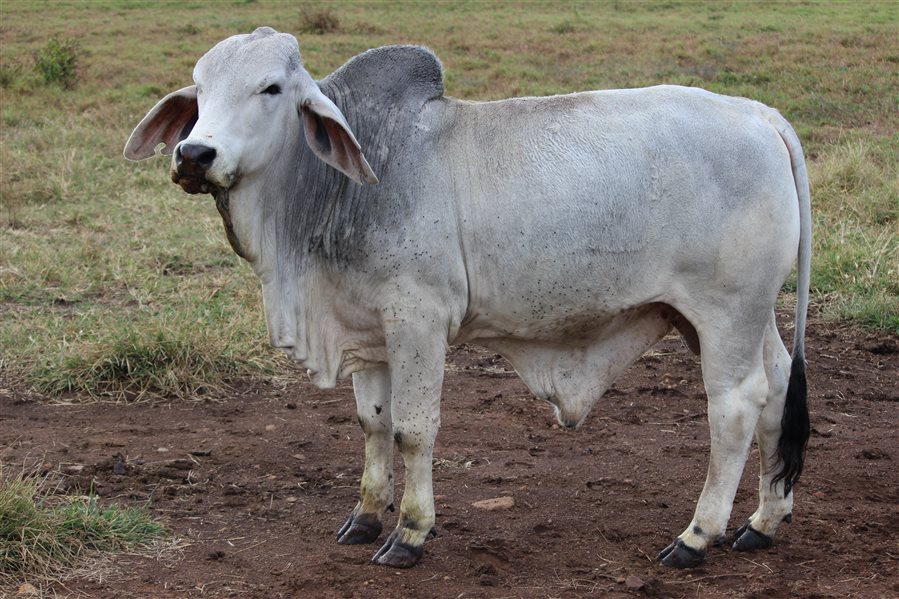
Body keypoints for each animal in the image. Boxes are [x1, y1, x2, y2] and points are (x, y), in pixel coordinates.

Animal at [124, 27, 811, 569]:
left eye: (270, 89)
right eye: (198, 89)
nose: (194, 153)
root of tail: (758, 115)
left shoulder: (418, 320)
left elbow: (412, 430)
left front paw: (410, 533)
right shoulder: (368, 329)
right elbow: (372, 423)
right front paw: (365, 516)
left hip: (725, 312)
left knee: (734, 407)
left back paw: (697, 537)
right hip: (737, 318)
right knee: (778, 386)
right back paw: (762, 523)